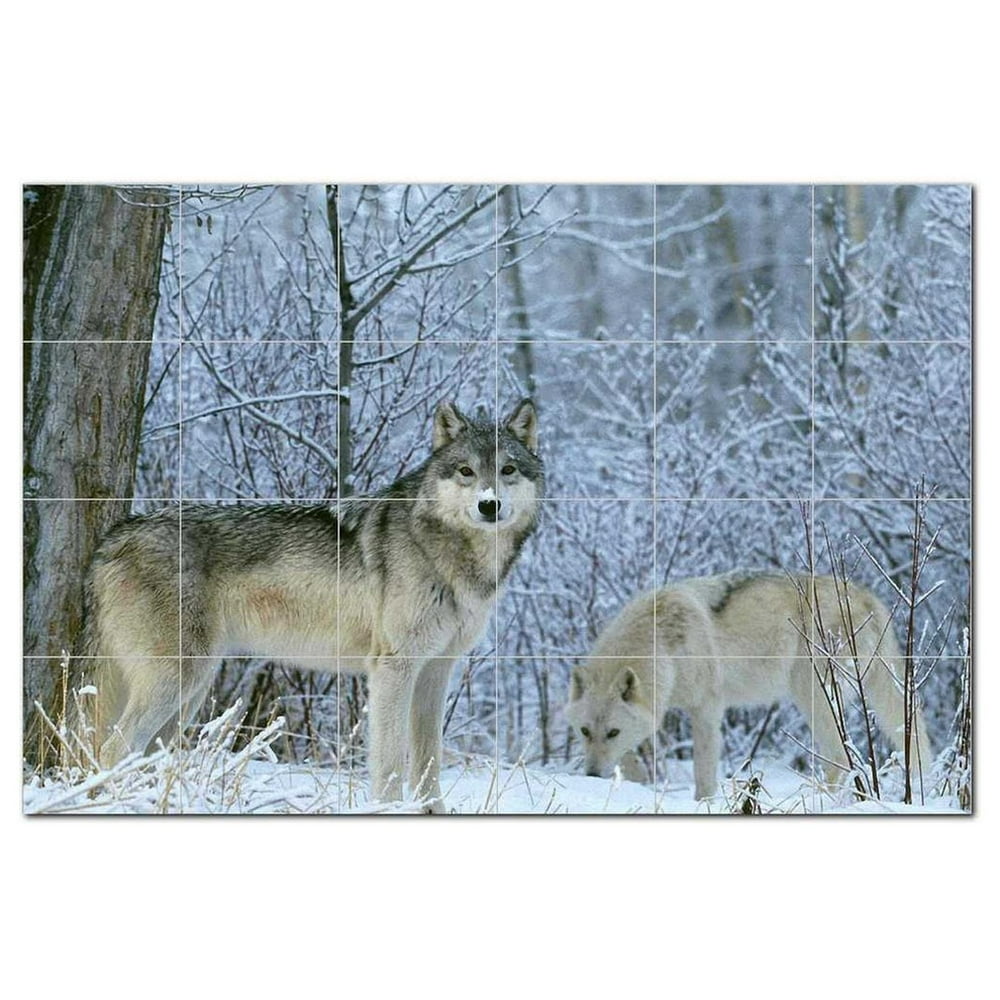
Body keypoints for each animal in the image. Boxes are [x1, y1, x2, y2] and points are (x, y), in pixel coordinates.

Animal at [78, 399, 542, 812]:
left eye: (508, 470)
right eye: (466, 471)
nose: (489, 505)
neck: (448, 552)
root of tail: (111, 541)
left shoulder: (435, 671)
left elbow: (429, 763)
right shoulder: (393, 668)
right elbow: (391, 762)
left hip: (189, 693)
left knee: (140, 753)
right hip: (178, 681)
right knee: (113, 747)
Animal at [564, 572, 934, 800]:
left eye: (612, 732)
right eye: (584, 732)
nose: (591, 775)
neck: (665, 645)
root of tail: (865, 596)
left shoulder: (707, 709)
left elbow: (703, 772)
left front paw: (703, 803)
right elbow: (632, 760)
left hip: (813, 697)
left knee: (840, 757)